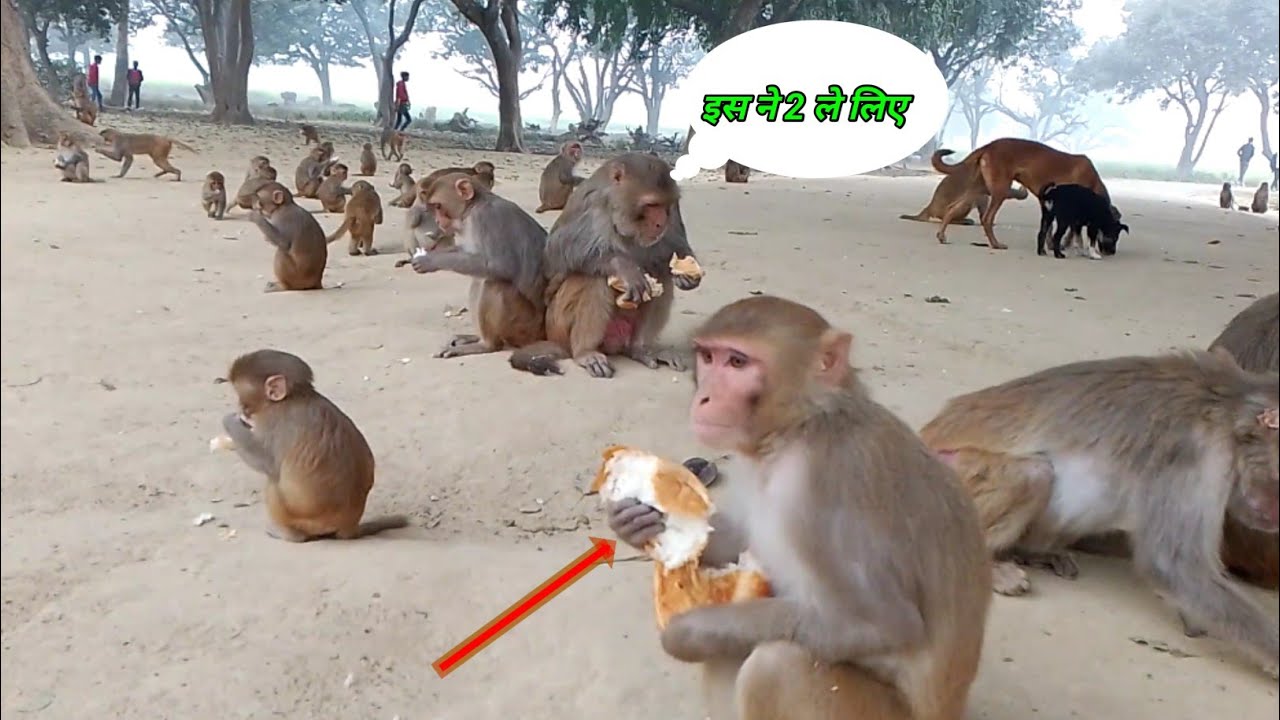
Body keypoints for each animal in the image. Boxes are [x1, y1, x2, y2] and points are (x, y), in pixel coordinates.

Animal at [217, 349, 408, 542]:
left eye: (241, 395)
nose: (241, 407)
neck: (294, 397)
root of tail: (349, 525)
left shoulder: (275, 422)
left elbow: (266, 462)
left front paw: (230, 419)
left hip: (303, 519)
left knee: (273, 482)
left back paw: (289, 534)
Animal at [407, 174, 550, 362]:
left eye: (437, 206)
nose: (437, 221)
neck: (473, 208)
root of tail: (543, 333)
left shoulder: (488, 219)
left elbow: (499, 266)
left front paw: (429, 261)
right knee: (478, 280)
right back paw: (473, 338)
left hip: (525, 328)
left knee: (492, 283)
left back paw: (486, 345)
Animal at [509, 153, 702, 378]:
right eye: (651, 205)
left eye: (665, 206)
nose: (660, 224)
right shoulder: (590, 203)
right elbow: (556, 252)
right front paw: (624, 267)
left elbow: (673, 245)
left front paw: (687, 274)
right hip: (558, 327)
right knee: (594, 280)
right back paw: (585, 352)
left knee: (660, 276)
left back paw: (640, 348)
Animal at [604, 295, 992, 720]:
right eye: (708, 357)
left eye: (737, 362)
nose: (703, 397)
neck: (801, 427)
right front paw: (637, 522)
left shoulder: (827, 482)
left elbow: (882, 624)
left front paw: (687, 632)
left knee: (776, 664)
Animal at [917, 350, 1280, 677]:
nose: (1275, 516)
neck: (1231, 410)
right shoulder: (1193, 452)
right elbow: (1173, 563)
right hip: (955, 476)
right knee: (1035, 473)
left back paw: (1036, 551)